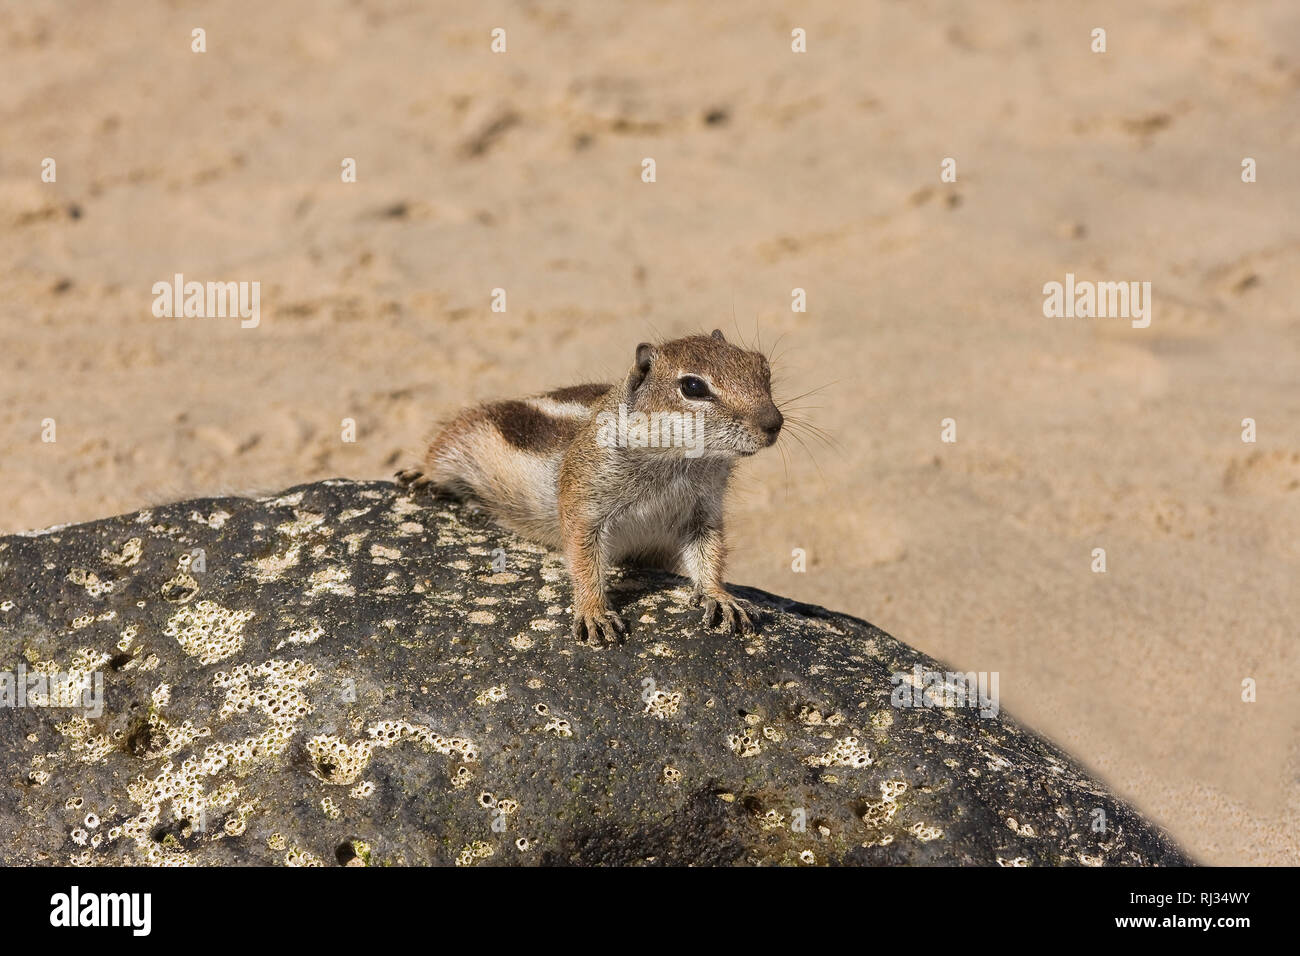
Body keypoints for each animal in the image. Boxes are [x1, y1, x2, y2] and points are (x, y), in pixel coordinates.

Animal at [397, 330, 783, 643]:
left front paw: (719, 595)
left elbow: (710, 551)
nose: (774, 423)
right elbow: (584, 561)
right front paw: (594, 611)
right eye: (692, 387)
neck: (676, 461)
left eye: (762, 367)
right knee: (441, 446)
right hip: (464, 437)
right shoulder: (584, 502)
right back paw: (425, 476)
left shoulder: (702, 510)